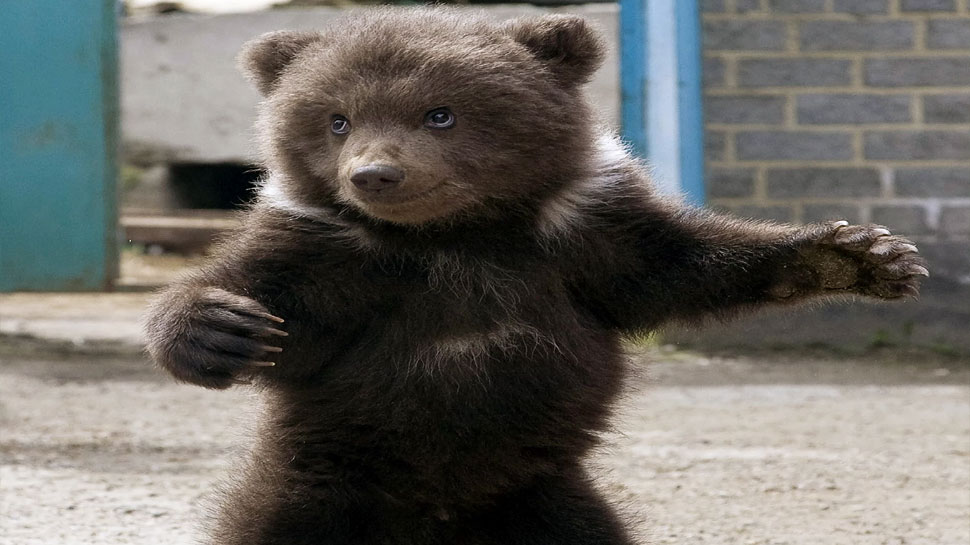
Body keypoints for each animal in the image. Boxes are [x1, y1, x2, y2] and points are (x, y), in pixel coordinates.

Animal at [143, 9, 928, 545]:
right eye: (337, 118)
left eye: (439, 113)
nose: (375, 175)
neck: (457, 236)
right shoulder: (332, 250)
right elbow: (262, 291)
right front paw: (218, 326)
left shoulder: (580, 231)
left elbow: (681, 265)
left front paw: (864, 253)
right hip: (321, 485)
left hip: (541, 498)